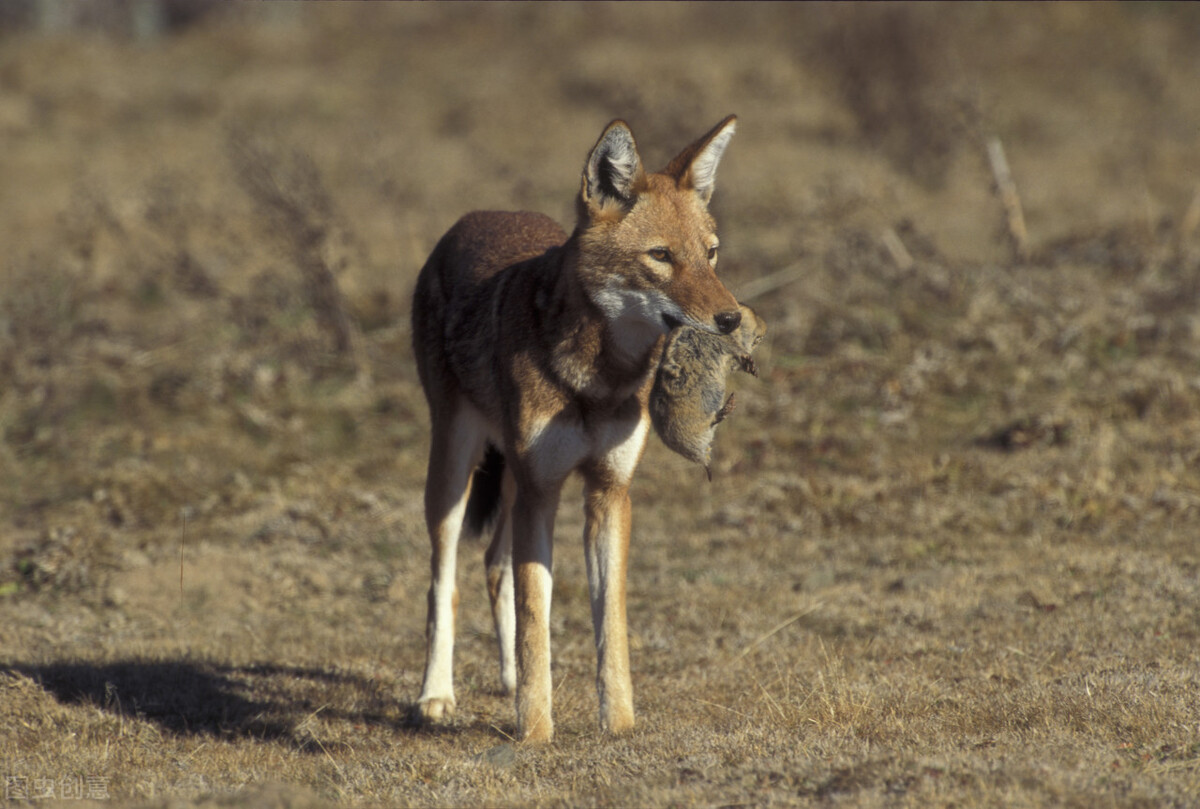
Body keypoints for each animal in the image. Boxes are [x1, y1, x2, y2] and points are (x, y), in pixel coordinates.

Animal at [411, 115, 742, 742]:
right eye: (661, 256)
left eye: (710, 255)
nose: (732, 319)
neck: (597, 379)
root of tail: (475, 217)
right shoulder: (542, 493)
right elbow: (536, 617)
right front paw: (537, 733)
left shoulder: (609, 493)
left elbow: (609, 621)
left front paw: (620, 725)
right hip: (454, 470)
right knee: (446, 583)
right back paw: (436, 697)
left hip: (510, 480)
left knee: (495, 567)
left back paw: (508, 683)